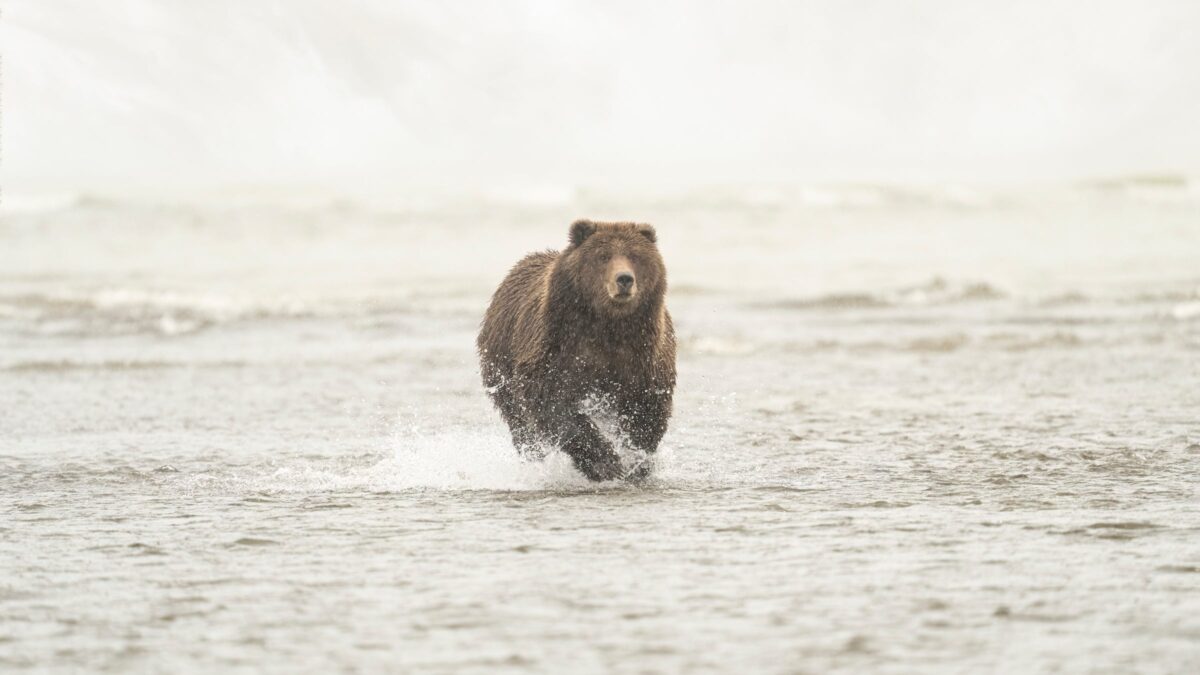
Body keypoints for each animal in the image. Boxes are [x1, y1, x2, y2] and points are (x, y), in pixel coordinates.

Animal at [477, 219, 676, 481]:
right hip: (501, 363)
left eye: (635, 255)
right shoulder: (558, 346)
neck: (609, 326)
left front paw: (635, 461)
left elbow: (646, 410)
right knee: (520, 423)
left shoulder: (643, 356)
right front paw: (606, 462)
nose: (624, 279)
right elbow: (553, 402)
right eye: (603, 256)